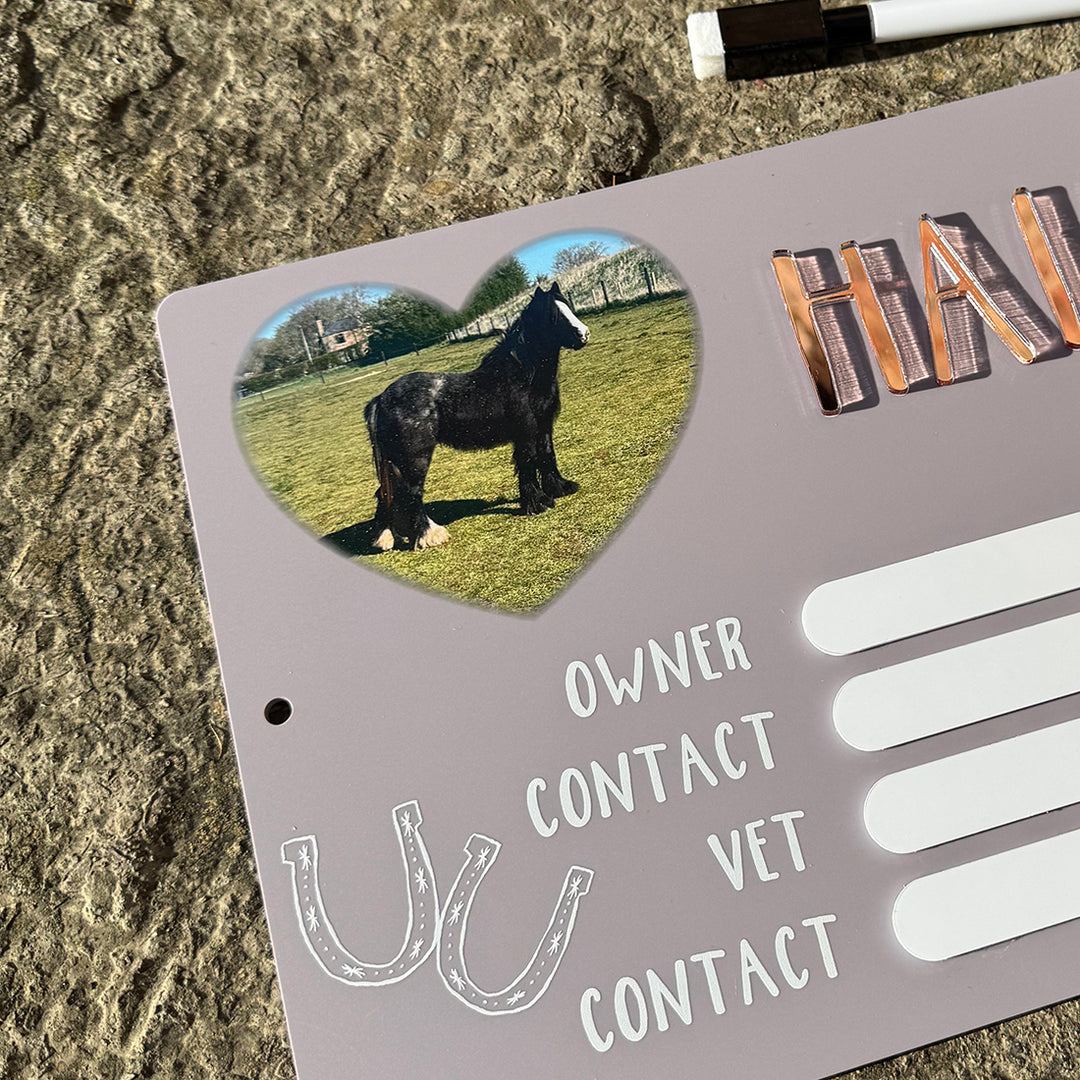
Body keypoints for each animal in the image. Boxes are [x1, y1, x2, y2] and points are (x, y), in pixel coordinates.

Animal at [364, 282, 590, 551]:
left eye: (567, 306)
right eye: (553, 315)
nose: (584, 334)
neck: (523, 375)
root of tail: (381, 399)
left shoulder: (544, 426)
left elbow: (547, 456)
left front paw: (560, 488)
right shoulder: (525, 432)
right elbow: (528, 462)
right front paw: (537, 503)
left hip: (394, 462)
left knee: (386, 494)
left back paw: (386, 537)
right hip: (414, 459)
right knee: (411, 493)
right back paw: (431, 534)